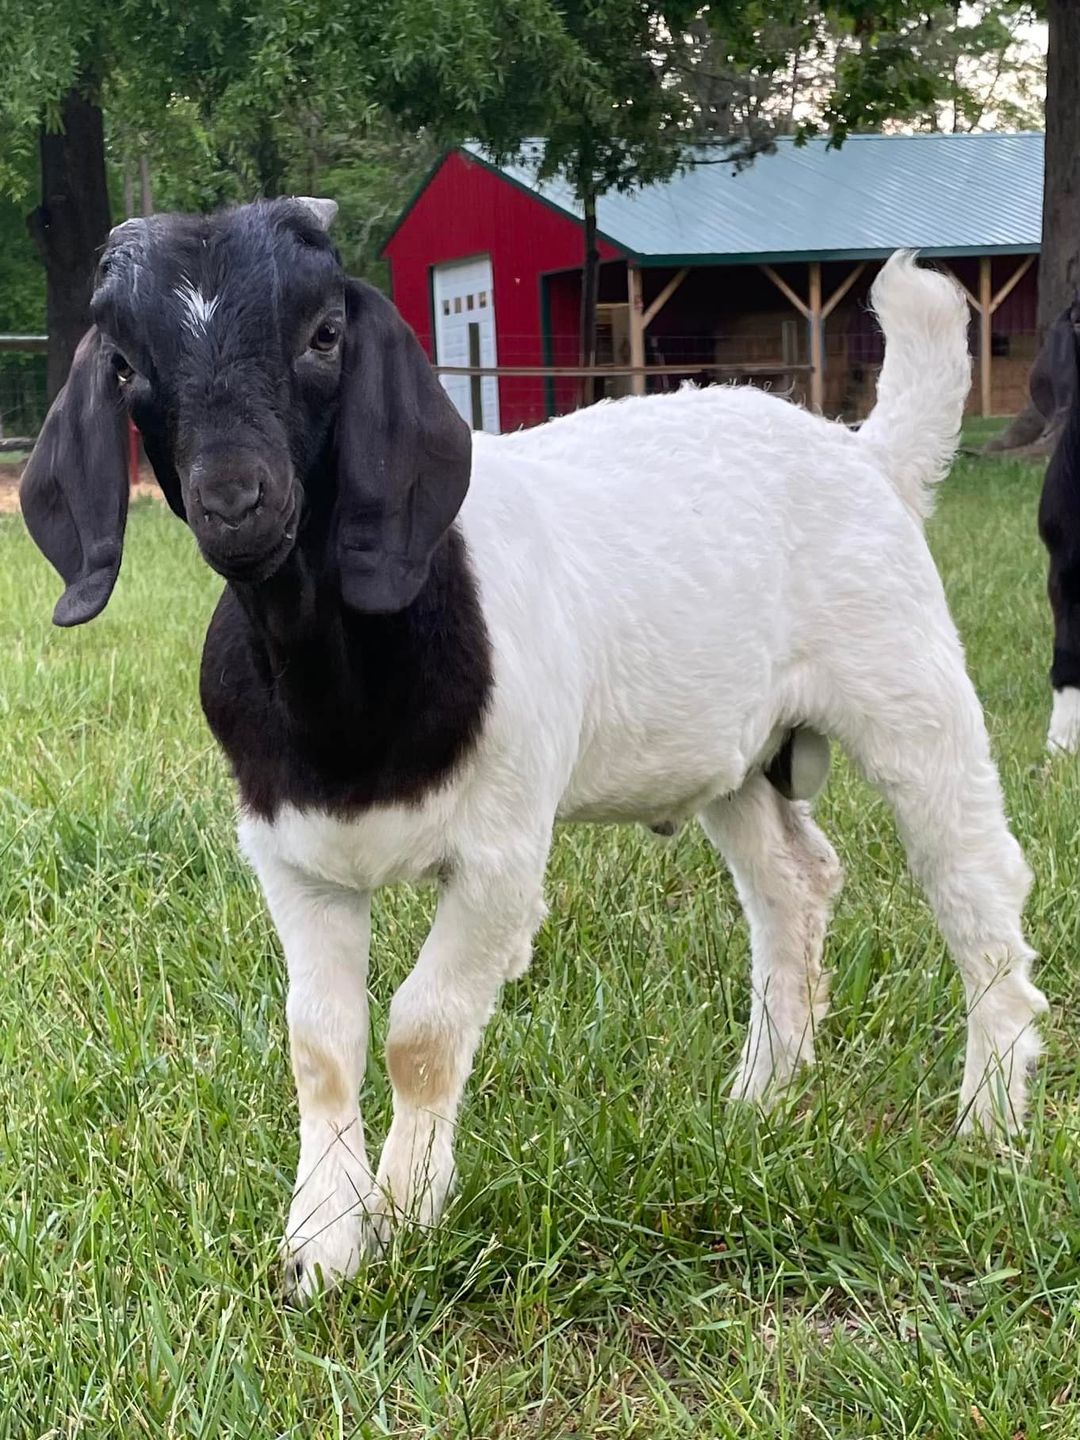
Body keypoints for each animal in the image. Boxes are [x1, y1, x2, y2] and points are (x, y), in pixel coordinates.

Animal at [20, 200, 1046, 1301]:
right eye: (126, 363)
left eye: (324, 335)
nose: (235, 500)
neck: (347, 695)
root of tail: (868, 454)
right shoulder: (294, 859)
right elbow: (321, 1044)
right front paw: (322, 1246)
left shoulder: (502, 859)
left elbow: (423, 1030)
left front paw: (405, 1213)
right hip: (732, 753)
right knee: (794, 884)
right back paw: (760, 1098)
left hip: (908, 687)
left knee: (974, 883)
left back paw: (989, 1119)